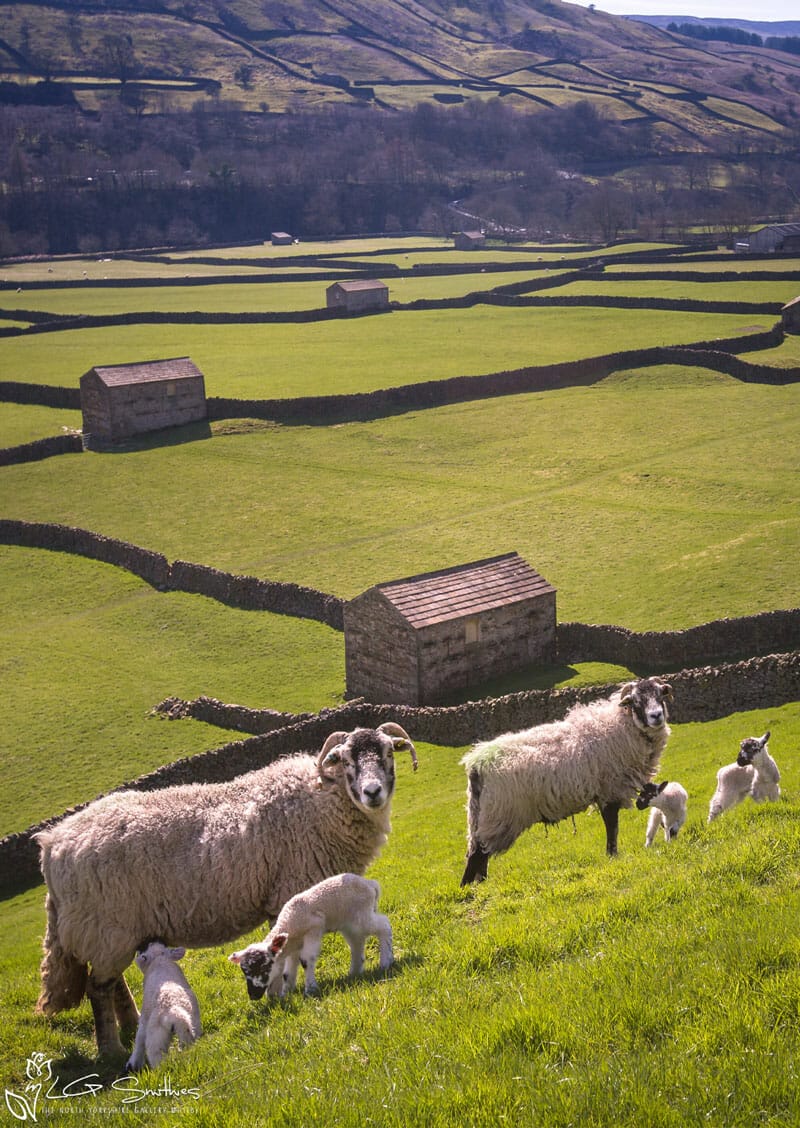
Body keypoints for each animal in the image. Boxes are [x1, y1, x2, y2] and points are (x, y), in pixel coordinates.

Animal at [125, 942, 201, 1072]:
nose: (148, 943)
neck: (160, 960)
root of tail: (173, 1013)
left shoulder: (144, 1018)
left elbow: (139, 1038)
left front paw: (134, 1063)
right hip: (191, 1027)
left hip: (156, 1038)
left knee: (156, 1057)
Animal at [229, 873, 393, 999]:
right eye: (245, 971)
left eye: (263, 967)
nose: (253, 996)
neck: (288, 923)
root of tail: (371, 884)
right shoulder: (293, 945)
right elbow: (287, 972)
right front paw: (286, 993)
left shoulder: (314, 928)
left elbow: (306, 960)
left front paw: (310, 990)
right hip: (349, 922)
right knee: (357, 942)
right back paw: (354, 972)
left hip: (362, 915)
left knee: (384, 925)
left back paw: (386, 962)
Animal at [460, 677, 673, 883]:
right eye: (636, 701)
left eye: (660, 695)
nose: (656, 716)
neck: (620, 726)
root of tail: (476, 763)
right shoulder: (608, 789)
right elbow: (612, 826)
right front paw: (612, 855)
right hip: (498, 815)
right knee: (477, 855)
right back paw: (468, 888)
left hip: (482, 816)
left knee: (478, 853)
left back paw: (479, 884)